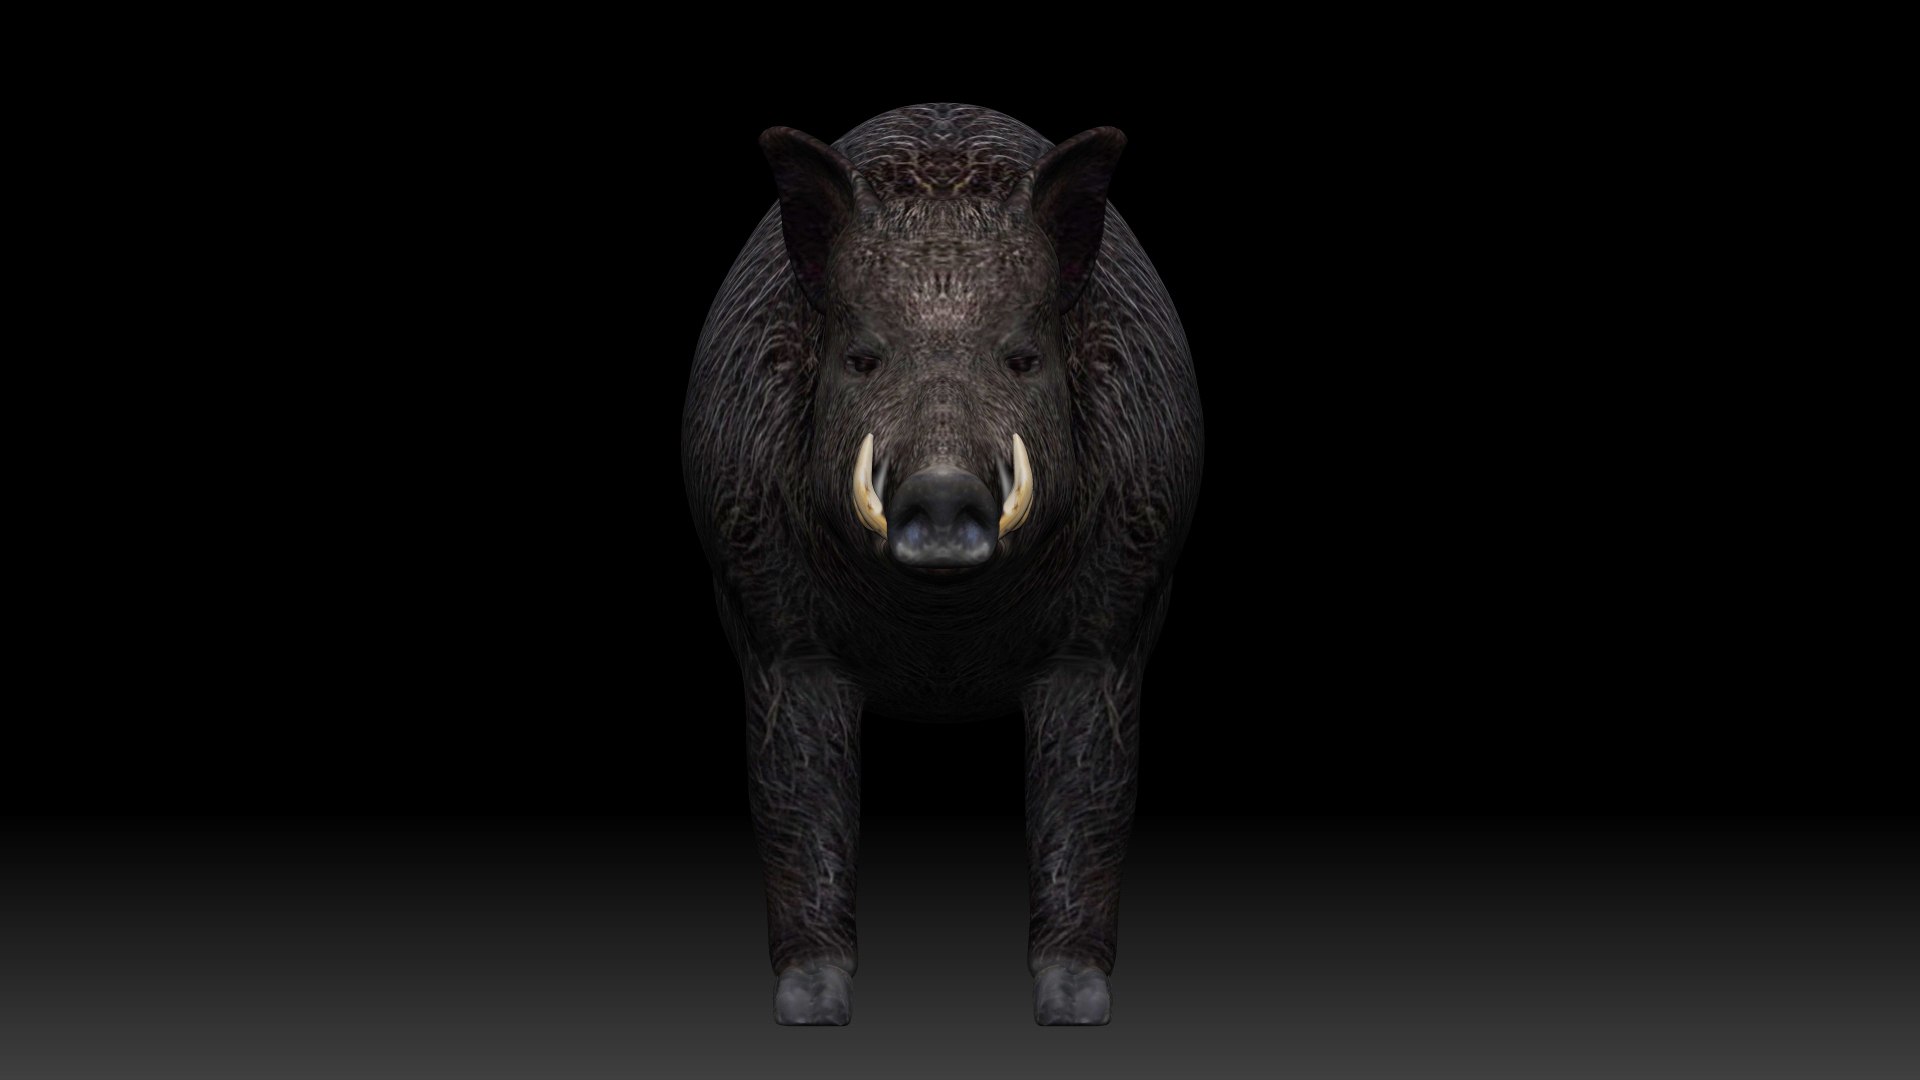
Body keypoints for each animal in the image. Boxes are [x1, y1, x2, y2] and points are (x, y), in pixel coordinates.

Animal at [681, 102, 1203, 1025]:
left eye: (1024, 358)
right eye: (861, 358)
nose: (944, 495)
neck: (942, 632)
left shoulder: (1108, 630)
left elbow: (1089, 794)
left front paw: (1075, 1006)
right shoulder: (777, 631)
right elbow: (796, 793)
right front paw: (811, 1006)